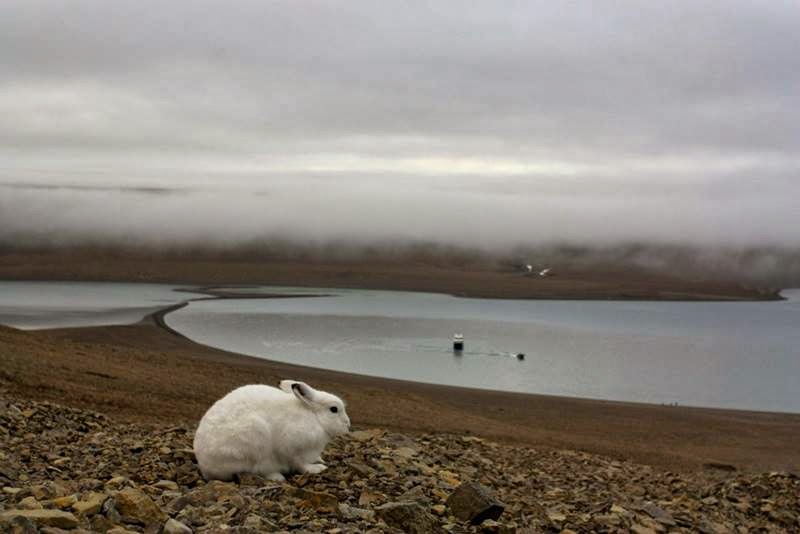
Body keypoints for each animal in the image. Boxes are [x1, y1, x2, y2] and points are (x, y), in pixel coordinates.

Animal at [193, 380, 351, 481]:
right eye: (334, 409)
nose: (348, 425)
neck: (314, 417)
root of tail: (206, 467)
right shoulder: (293, 448)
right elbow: (300, 464)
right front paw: (317, 468)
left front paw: (320, 460)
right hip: (254, 440)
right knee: (259, 469)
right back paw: (277, 477)